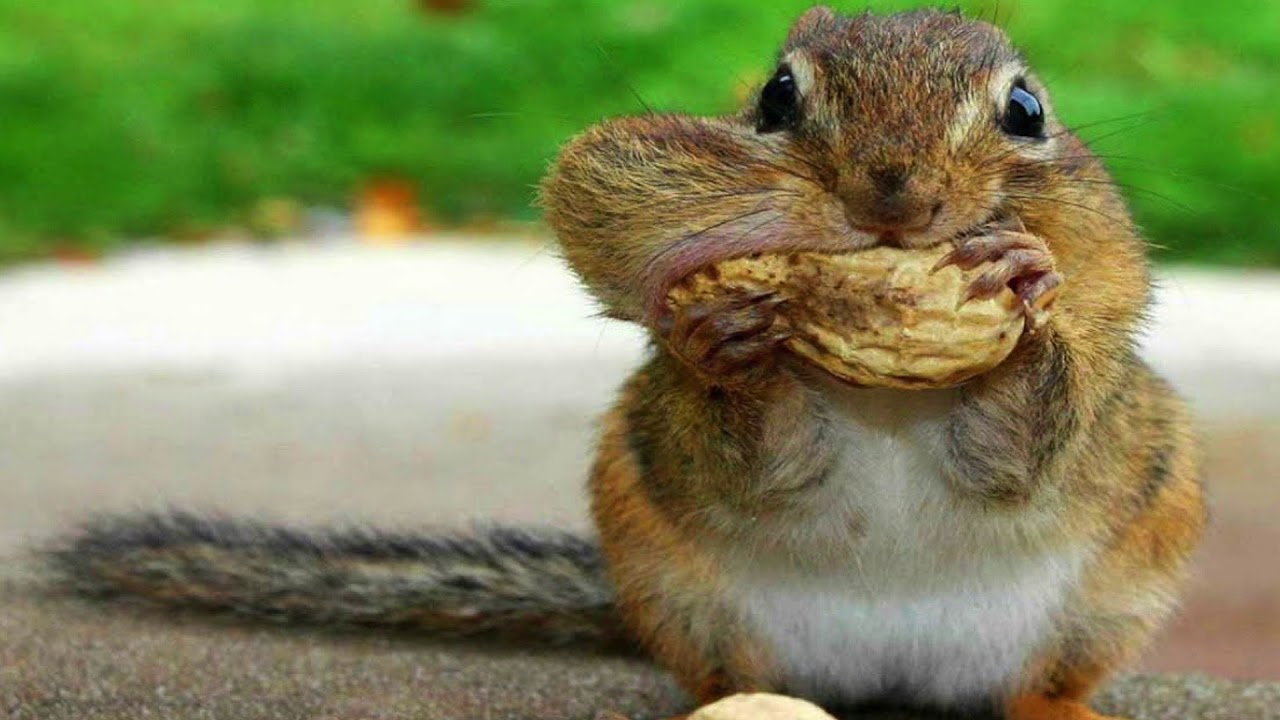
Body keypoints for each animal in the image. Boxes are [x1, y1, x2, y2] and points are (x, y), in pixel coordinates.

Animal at [47, 7, 1206, 720]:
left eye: (1026, 111)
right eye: (774, 99)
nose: (894, 197)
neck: (879, 395)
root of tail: (889, 674)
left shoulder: (1077, 403)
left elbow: (1020, 449)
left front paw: (1022, 290)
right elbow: (762, 457)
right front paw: (730, 347)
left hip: (1119, 582)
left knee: (1041, 680)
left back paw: (1062, 708)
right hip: (672, 581)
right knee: (725, 671)